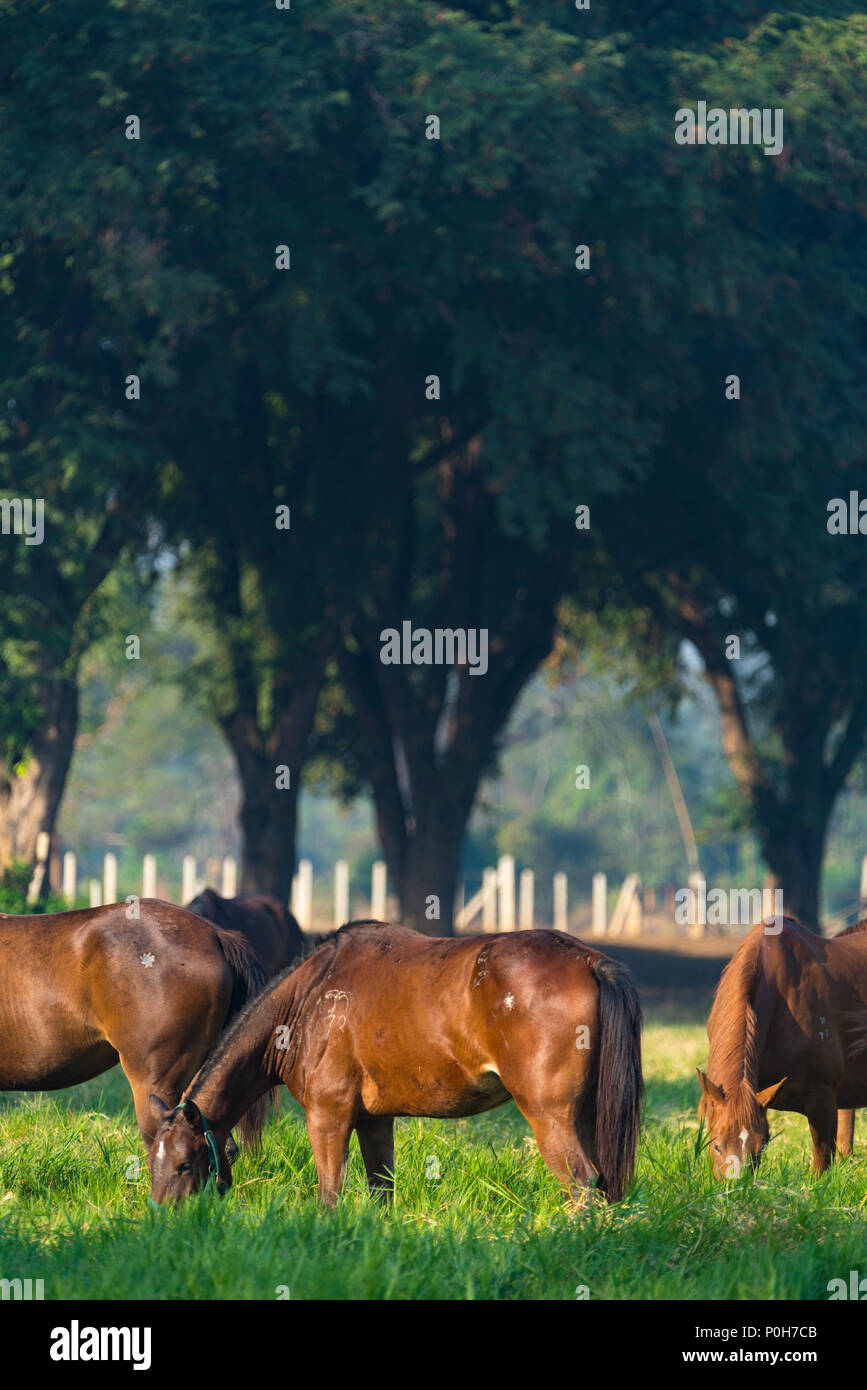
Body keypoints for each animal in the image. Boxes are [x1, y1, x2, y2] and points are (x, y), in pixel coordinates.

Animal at [147, 920, 643, 1208]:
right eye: (151, 1161)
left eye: (185, 1165)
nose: (161, 1220)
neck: (309, 999)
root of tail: (588, 960)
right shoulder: (374, 1122)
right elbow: (381, 1190)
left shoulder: (328, 1118)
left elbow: (330, 1195)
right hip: (585, 1115)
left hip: (548, 1116)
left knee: (582, 1183)